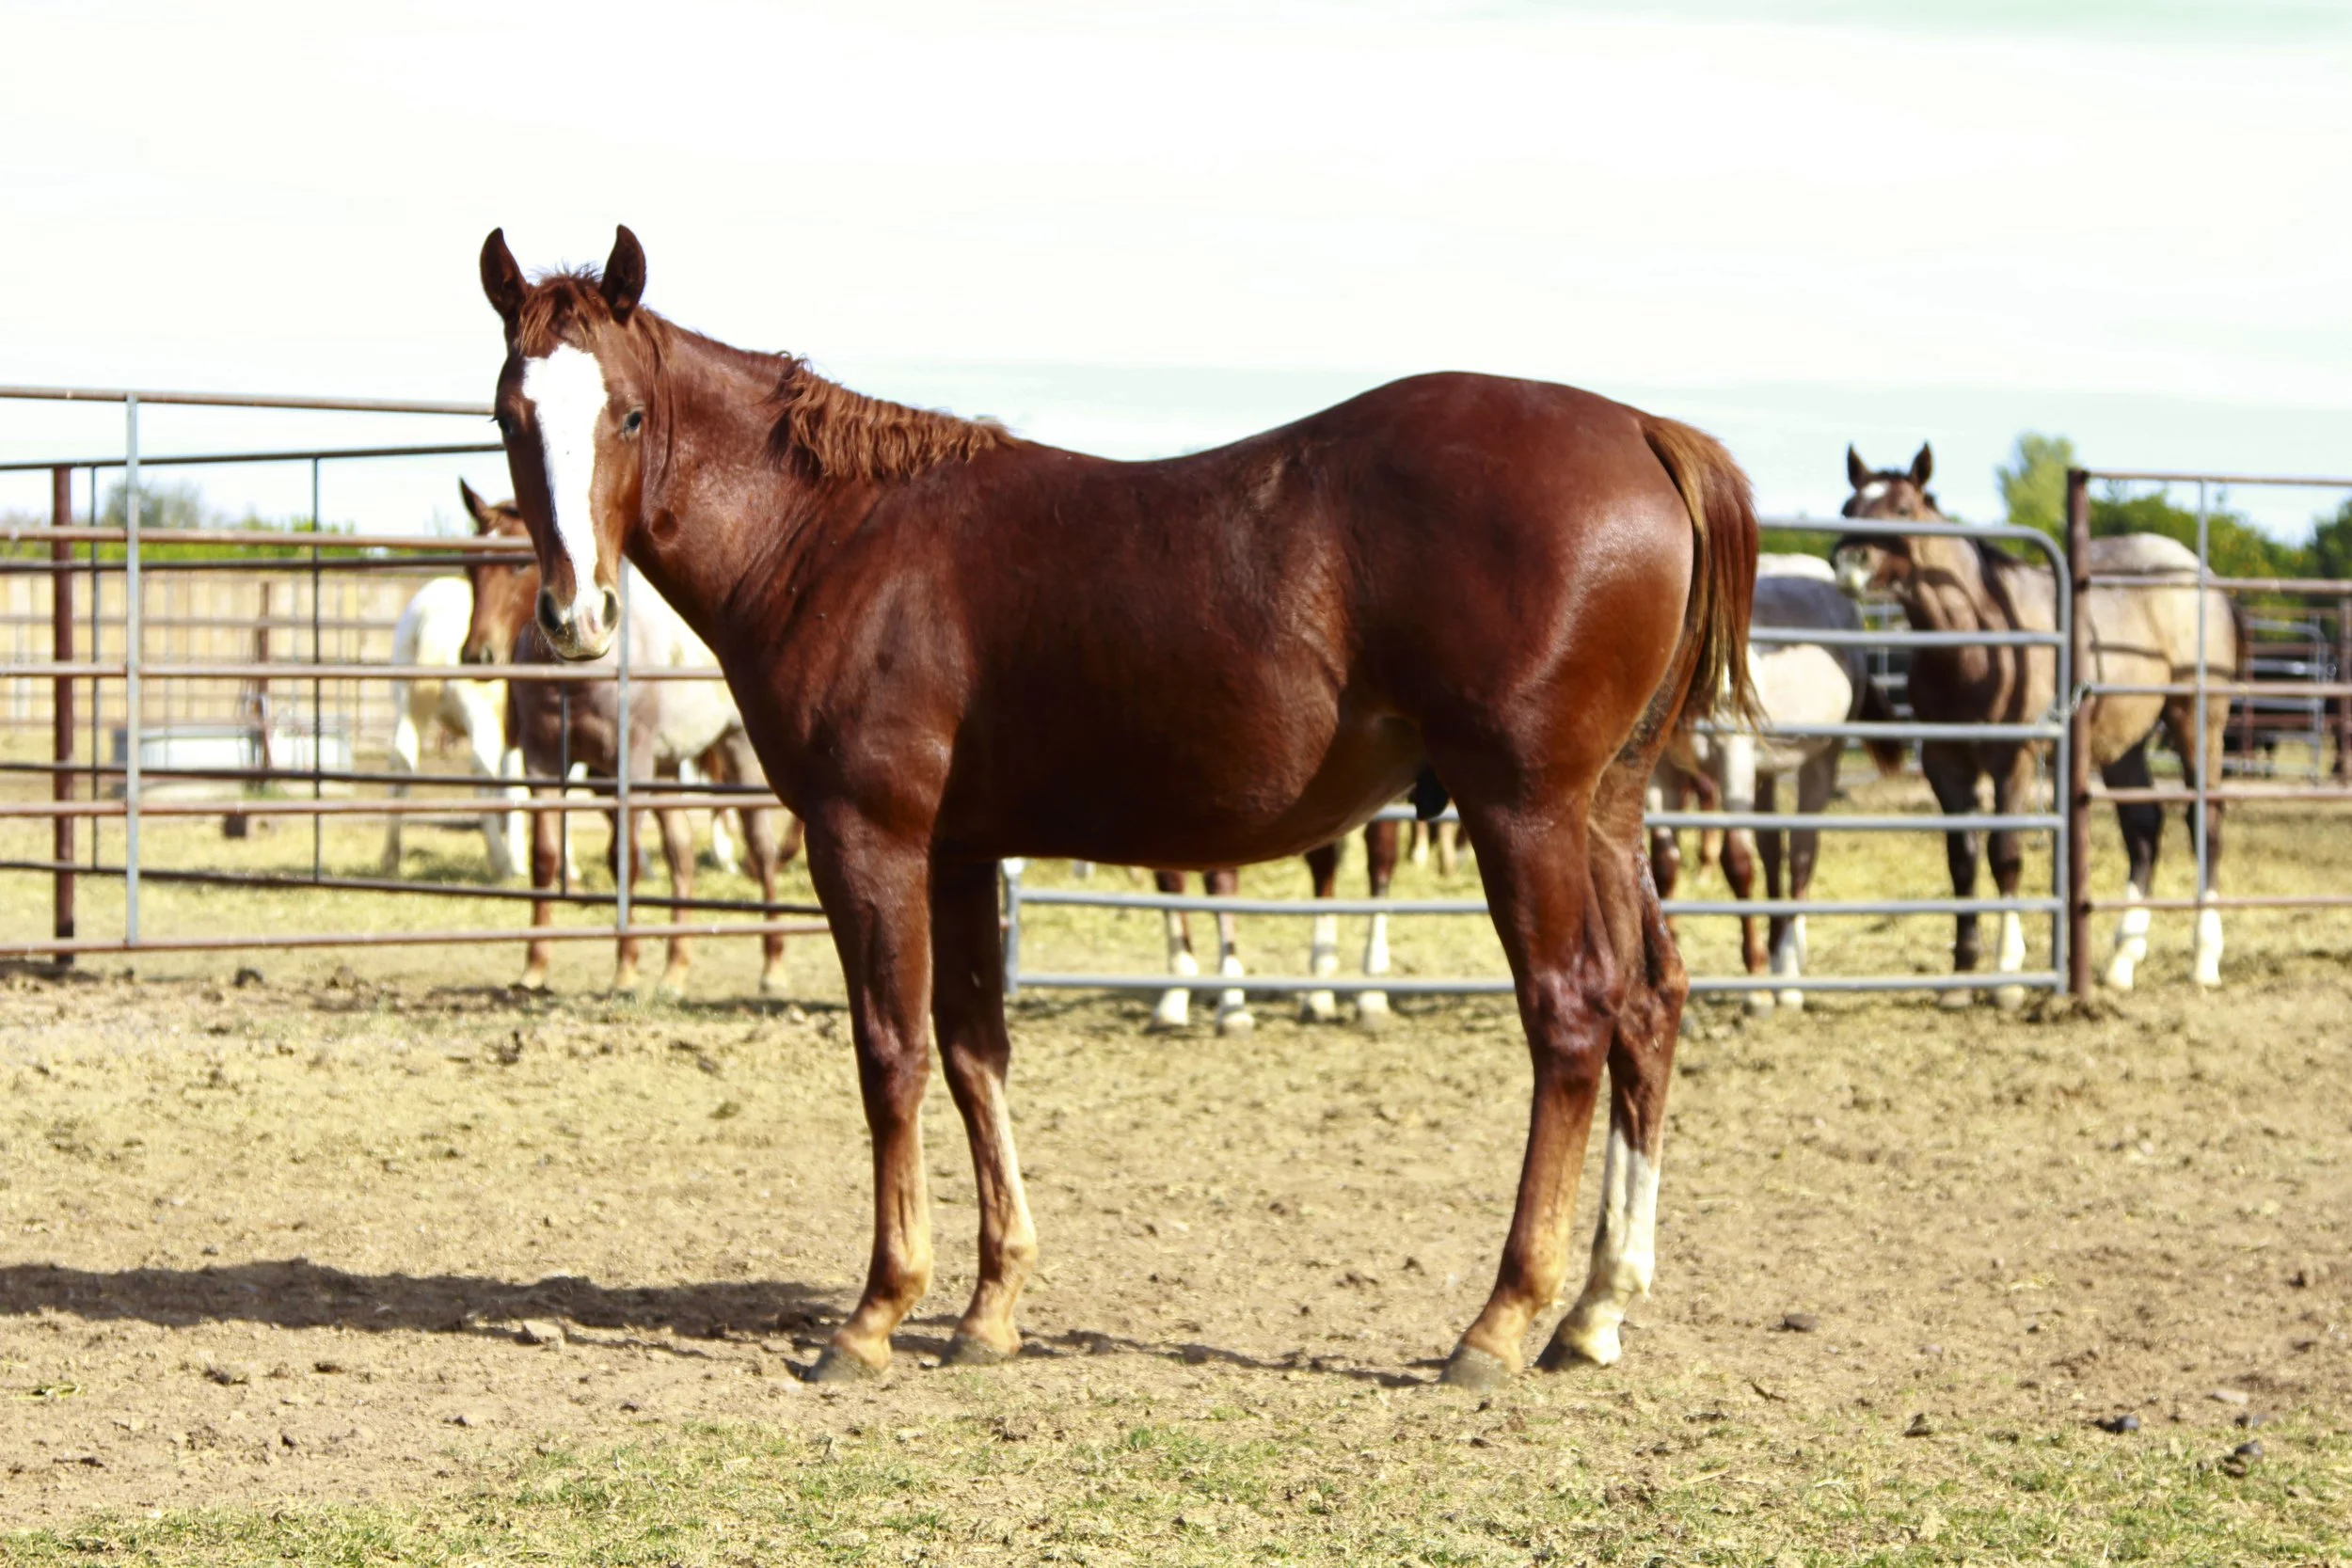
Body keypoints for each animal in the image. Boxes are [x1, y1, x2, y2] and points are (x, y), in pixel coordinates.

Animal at [378, 566, 525, 881]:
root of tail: (430, 620)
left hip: (407, 706)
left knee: (400, 765)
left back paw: (391, 858)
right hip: (480, 715)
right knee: (482, 770)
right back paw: (500, 863)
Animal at [458, 486, 803, 996]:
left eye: (519, 563)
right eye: (468, 566)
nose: (477, 655)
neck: (575, 675)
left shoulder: (629, 768)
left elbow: (625, 860)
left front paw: (625, 968)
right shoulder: (544, 763)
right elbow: (545, 859)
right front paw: (534, 966)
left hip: (735, 753)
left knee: (760, 849)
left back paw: (773, 964)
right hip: (666, 770)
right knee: (682, 852)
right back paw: (675, 969)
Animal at [1149, 817, 1404, 1034]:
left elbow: (1219, 881)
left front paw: (1232, 1007)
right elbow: (1170, 880)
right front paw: (1174, 999)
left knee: (1380, 855)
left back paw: (1372, 995)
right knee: (1323, 861)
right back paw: (1318, 994)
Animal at [1649, 569, 1902, 1015]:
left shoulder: (1732, 758)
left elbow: (1737, 863)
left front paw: (1757, 985)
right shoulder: (1662, 773)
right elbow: (1665, 865)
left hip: (1822, 759)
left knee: (1801, 853)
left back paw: (1787, 973)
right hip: (1763, 772)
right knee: (1772, 851)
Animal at [1833, 444, 2242, 998]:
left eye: (1901, 509)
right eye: (1848, 508)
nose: (1849, 564)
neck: (1980, 641)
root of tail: (2205, 579)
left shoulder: (2016, 760)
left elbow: (2005, 853)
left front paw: (2007, 972)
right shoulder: (1945, 762)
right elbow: (1962, 859)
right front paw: (1962, 971)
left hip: (2196, 720)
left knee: (2206, 823)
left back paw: (2205, 957)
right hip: (2123, 743)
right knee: (2144, 827)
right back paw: (2122, 961)